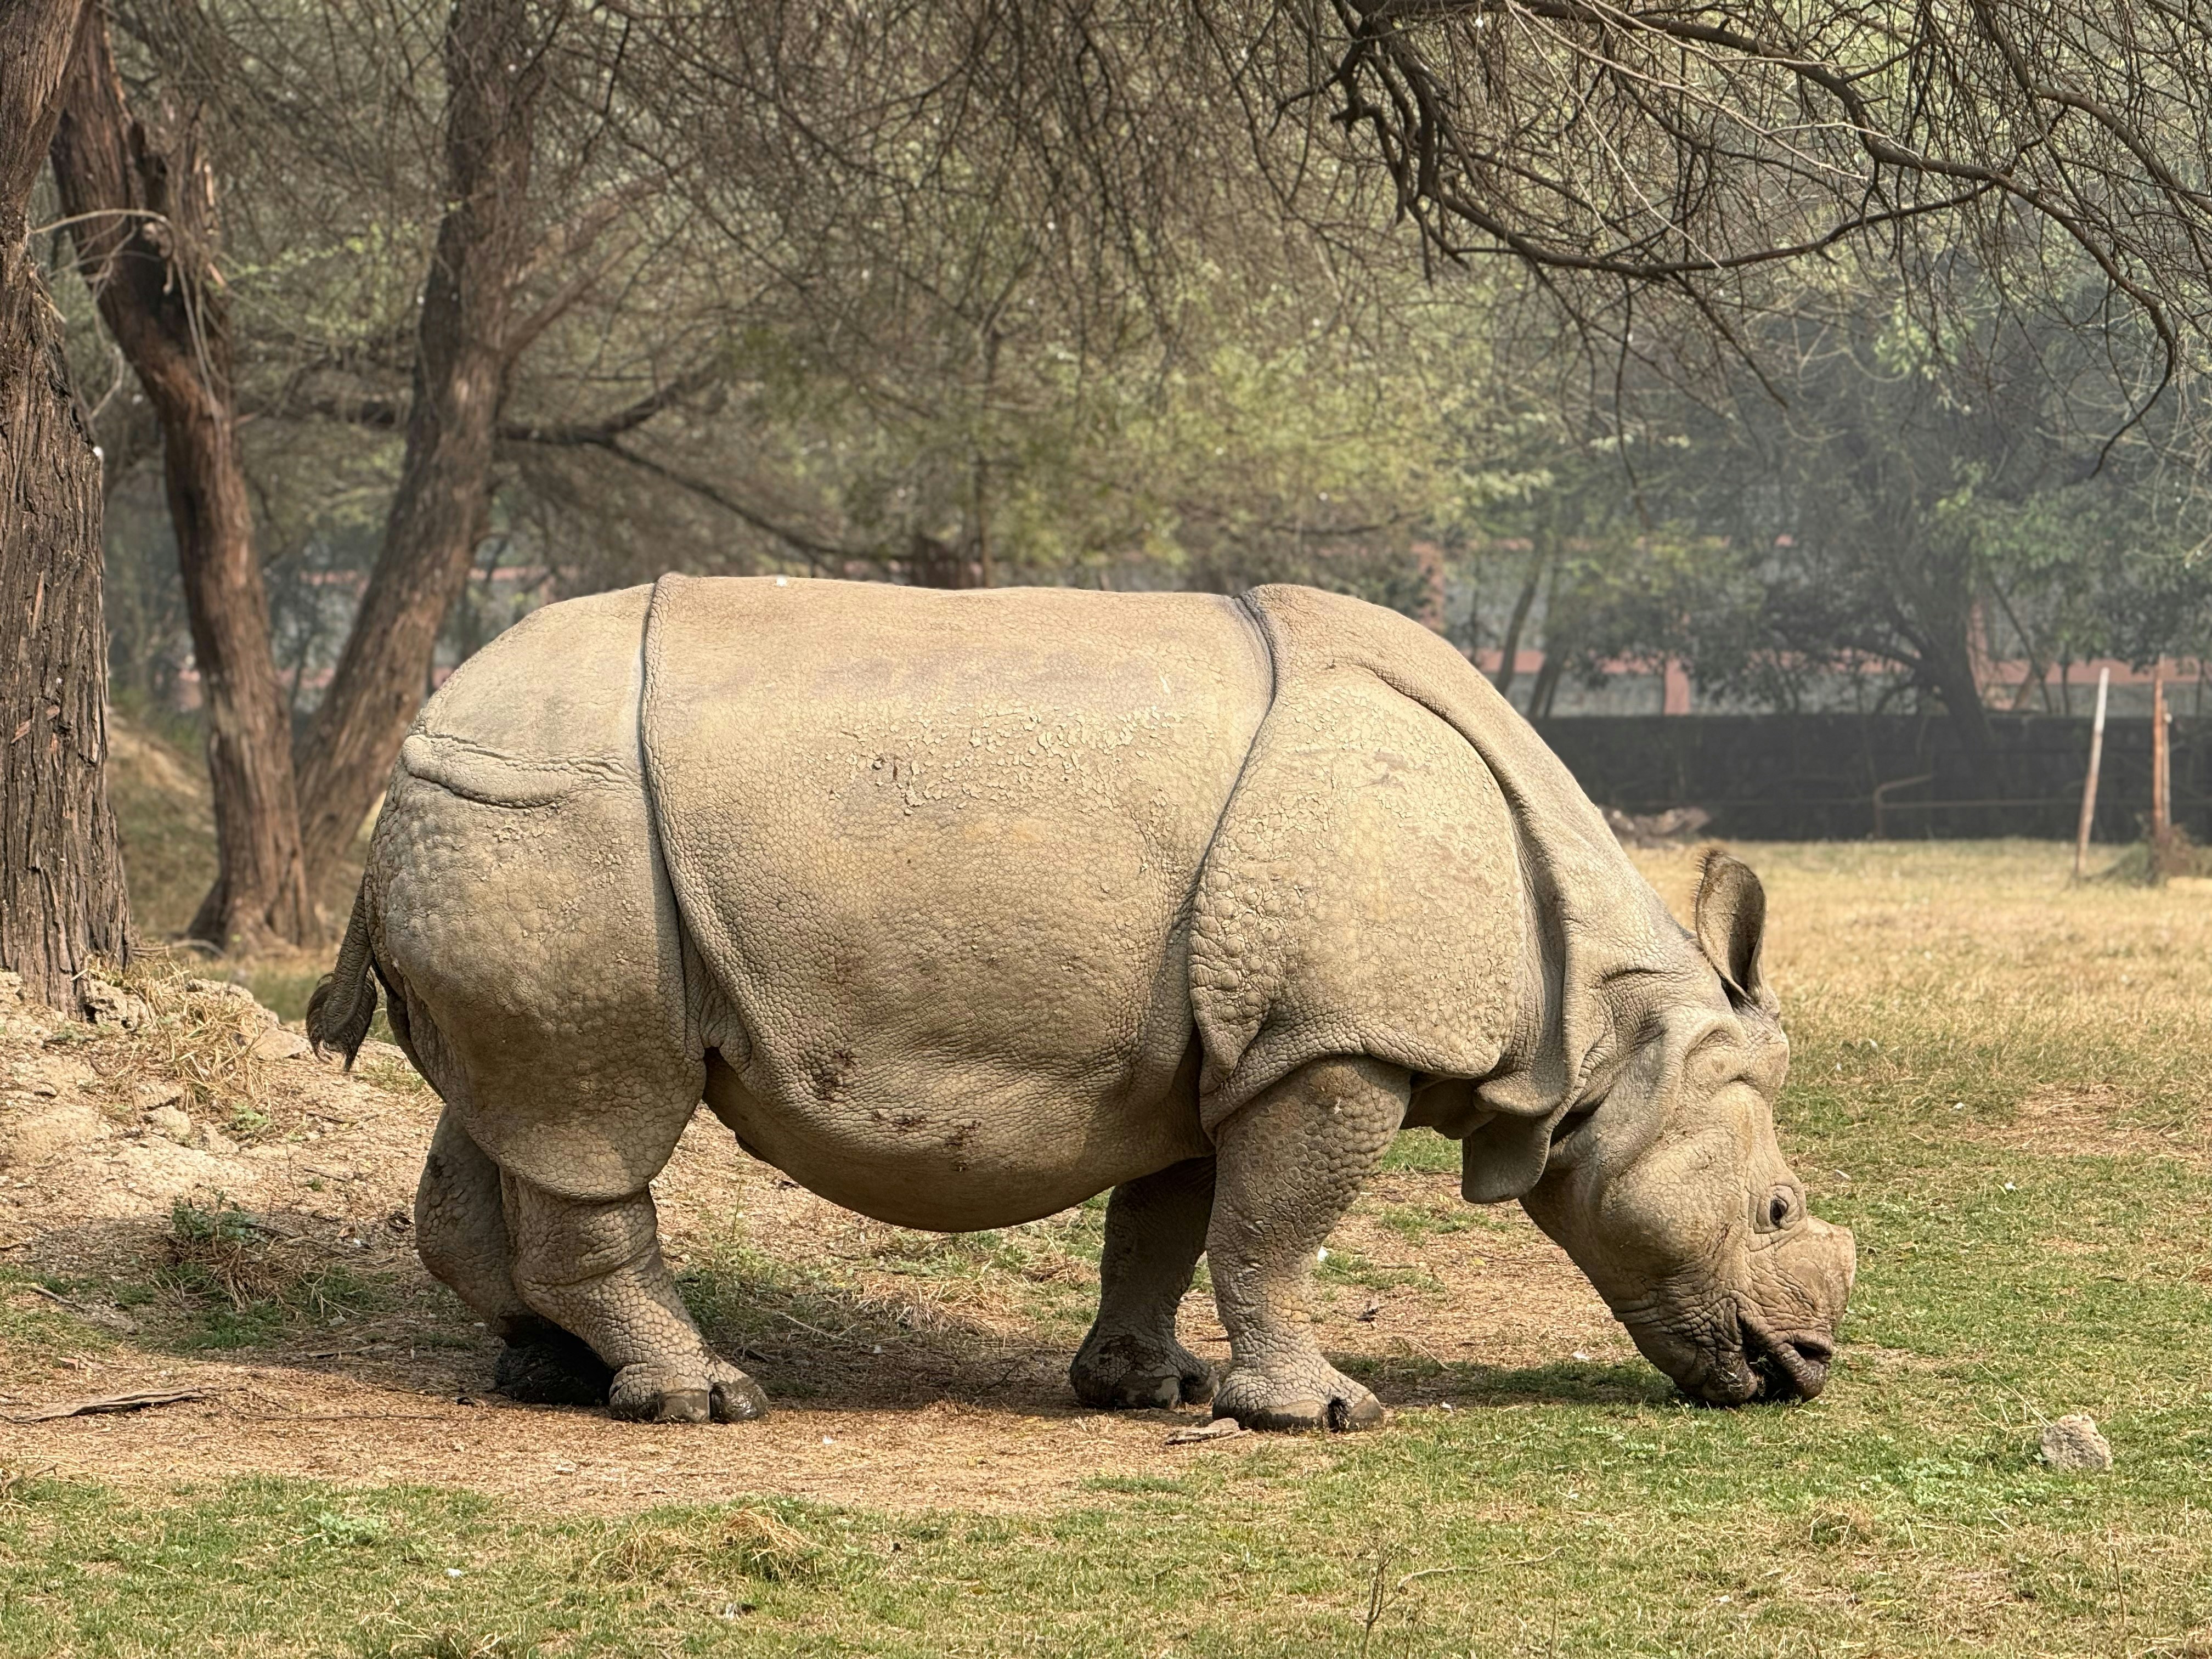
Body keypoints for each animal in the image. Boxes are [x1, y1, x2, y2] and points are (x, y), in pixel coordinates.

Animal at [309, 576, 1854, 1429]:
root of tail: (421, 737)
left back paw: (551, 1372)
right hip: (559, 829)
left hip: (510, 830)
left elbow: (1171, 1224)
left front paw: (1148, 1388)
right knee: (606, 1112)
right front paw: (1324, 1415)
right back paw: (704, 1399)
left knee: (518, 1115)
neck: (1604, 1015)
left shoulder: (1230, 1047)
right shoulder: (1329, 1046)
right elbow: (1275, 1234)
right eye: (1778, 1211)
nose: (1810, 1366)